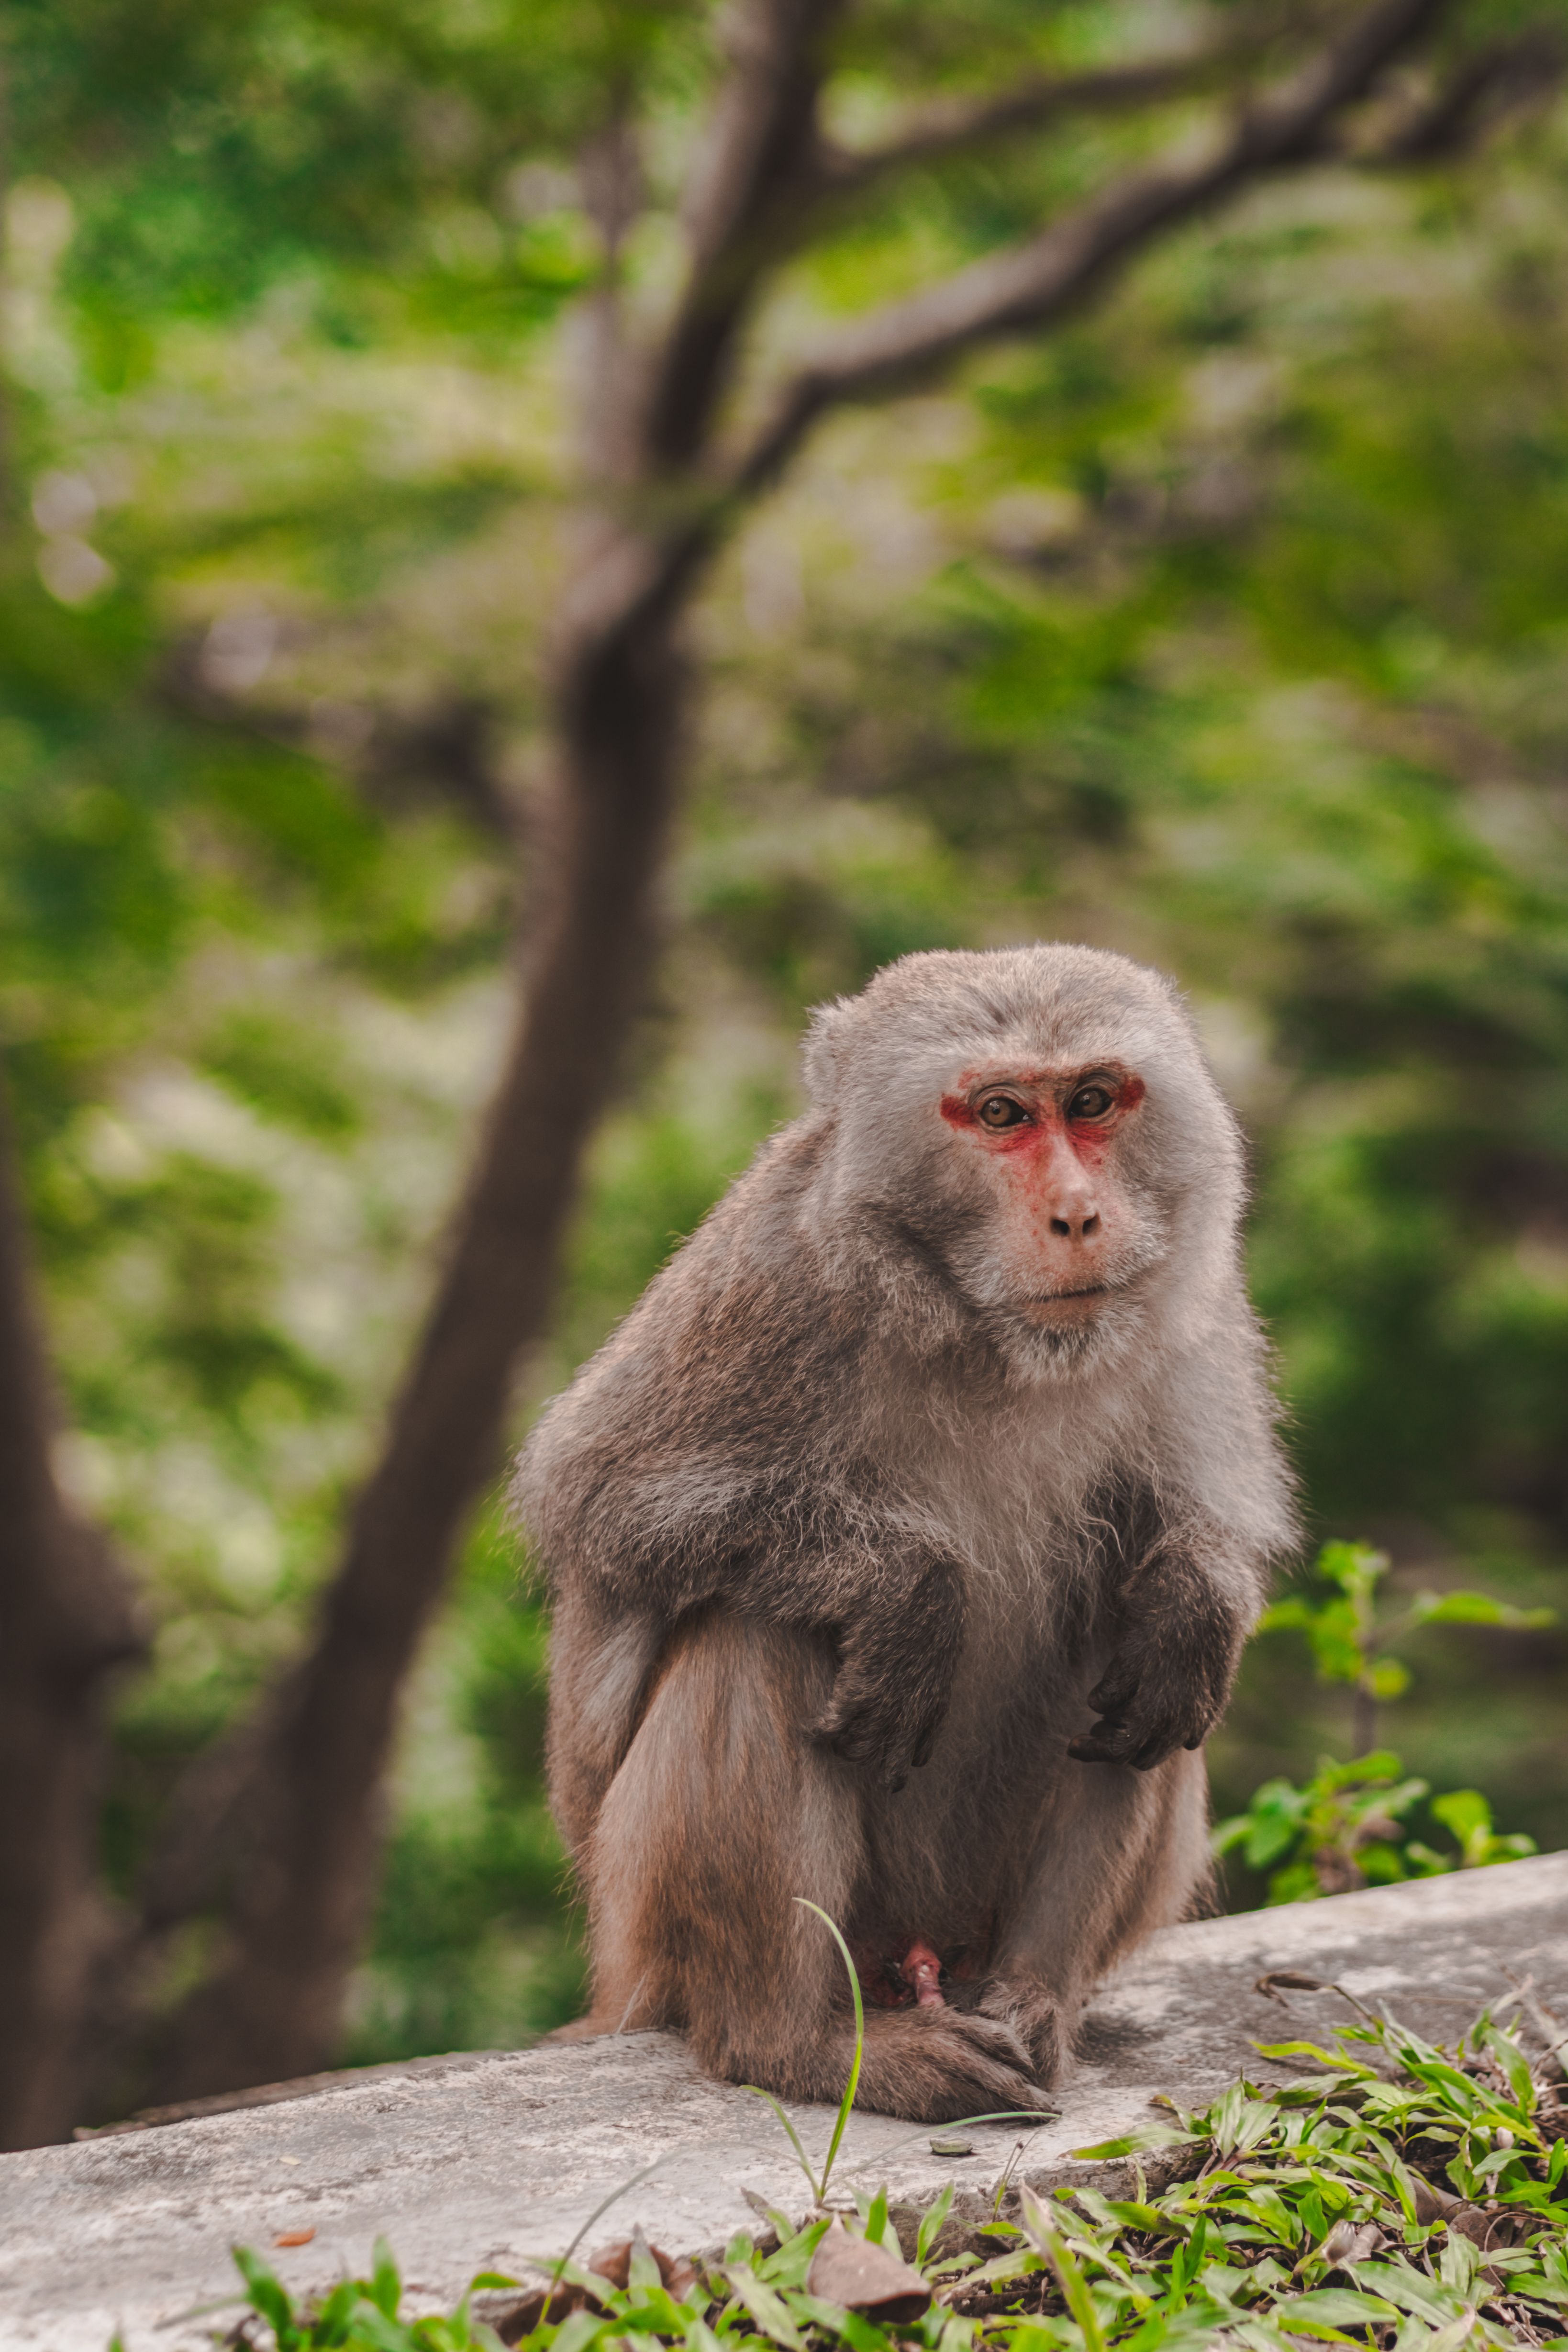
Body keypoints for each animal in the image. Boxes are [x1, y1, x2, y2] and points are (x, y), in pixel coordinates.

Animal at [514, 945, 1295, 2122]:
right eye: (1002, 1113)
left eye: (1093, 1101)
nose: (1079, 1215)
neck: (982, 1333)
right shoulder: (769, 1282)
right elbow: (594, 1497)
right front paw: (907, 1590)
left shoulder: (1190, 1302)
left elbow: (1205, 1533)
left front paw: (1198, 1594)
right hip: (649, 1920)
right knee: (760, 1631)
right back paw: (791, 2042)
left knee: (1138, 1647)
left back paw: (1031, 1997)